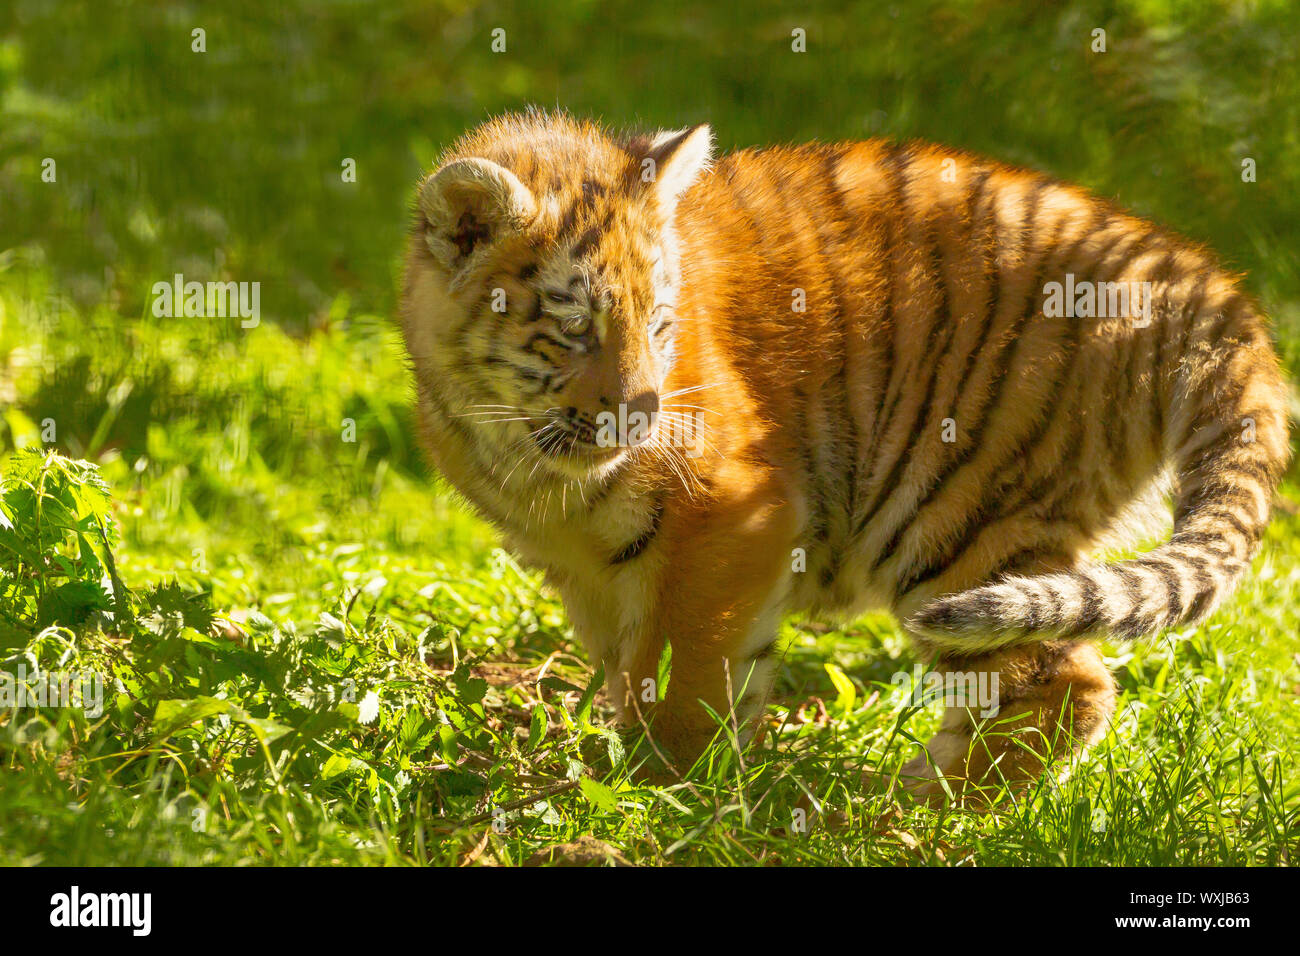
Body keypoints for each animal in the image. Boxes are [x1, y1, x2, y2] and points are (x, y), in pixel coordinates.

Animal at [399, 109, 1291, 801]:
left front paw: (663, 793)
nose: (644, 417)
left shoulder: (732, 516)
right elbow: (640, 668)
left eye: (658, 320)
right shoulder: (587, 572)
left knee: (1065, 686)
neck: (518, 446)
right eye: (575, 326)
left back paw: (905, 811)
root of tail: (1201, 278)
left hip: (953, 515)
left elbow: (683, 675)